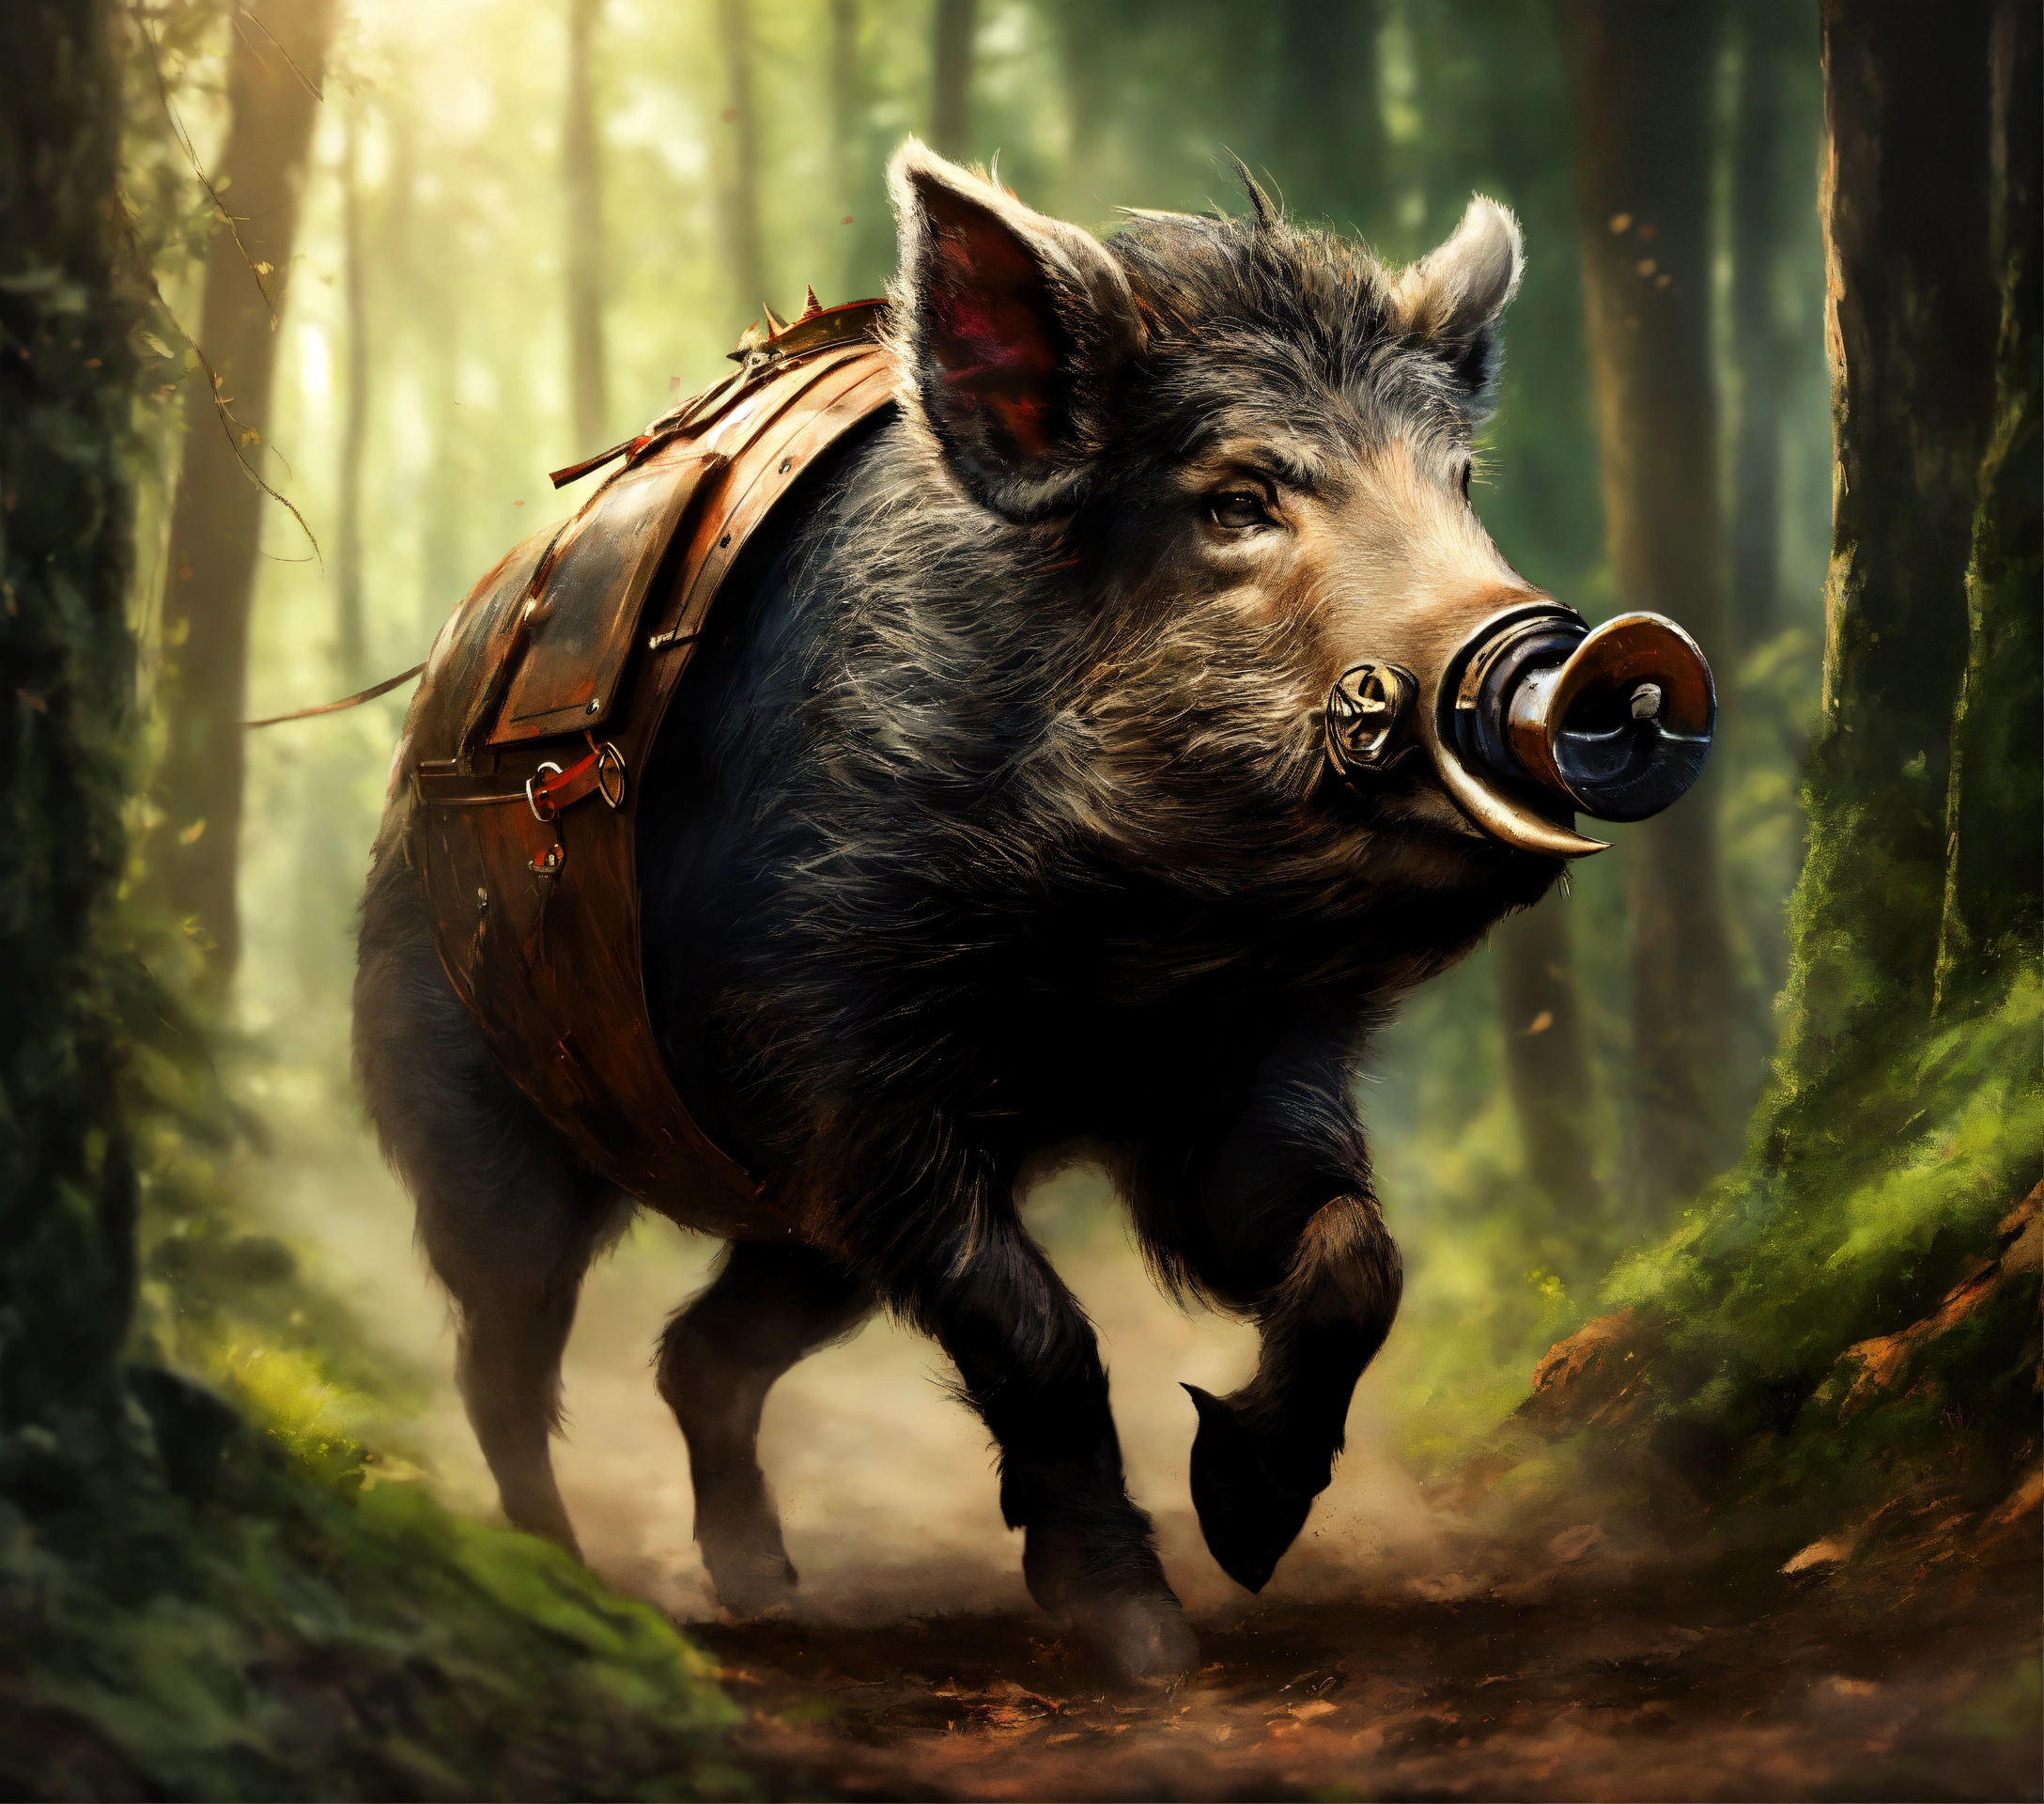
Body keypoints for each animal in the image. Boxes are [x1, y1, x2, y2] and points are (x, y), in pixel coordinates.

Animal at [354, 142, 1711, 1684]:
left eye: (1460, 478)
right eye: (1238, 499)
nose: (1577, 647)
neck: (1114, 967)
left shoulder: (1243, 1068)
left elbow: (1350, 1252)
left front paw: (1244, 1529)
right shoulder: (840, 1057)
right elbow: (1036, 1331)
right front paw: (1149, 1644)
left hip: (788, 1220)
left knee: (699, 1351)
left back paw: (767, 1588)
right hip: (472, 1101)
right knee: (503, 1356)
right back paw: (575, 1580)